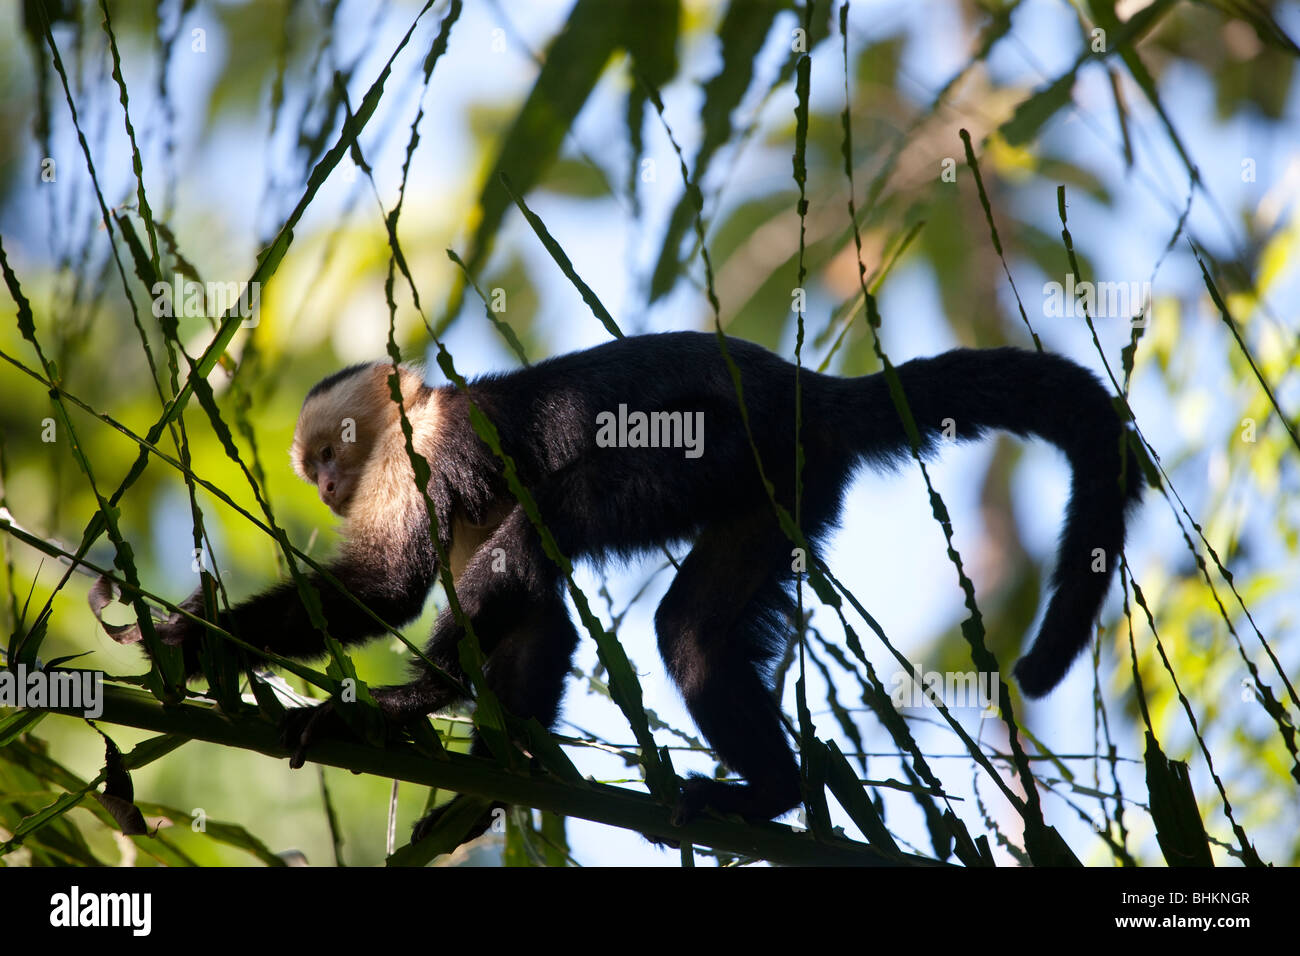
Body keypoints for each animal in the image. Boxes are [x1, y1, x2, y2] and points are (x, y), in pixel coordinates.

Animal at [146, 331, 1143, 844]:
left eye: (330, 449)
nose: (320, 482)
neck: (413, 428)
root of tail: (810, 392)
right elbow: (538, 625)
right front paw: (504, 766)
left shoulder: (428, 460)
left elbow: (388, 591)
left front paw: (390, 705)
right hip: (782, 489)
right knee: (691, 629)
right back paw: (773, 792)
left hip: (725, 441)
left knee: (570, 503)